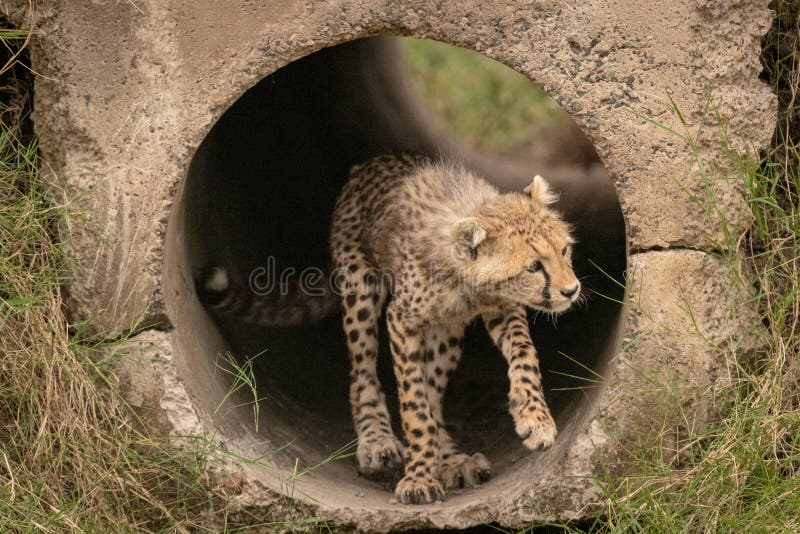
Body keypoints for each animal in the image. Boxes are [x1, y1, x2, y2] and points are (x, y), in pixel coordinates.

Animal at [197, 153, 582, 505]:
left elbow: (523, 356)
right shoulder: (401, 321)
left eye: (565, 250)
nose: (571, 290)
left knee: (434, 390)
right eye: (533, 266)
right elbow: (414, 405)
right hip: (361, 286)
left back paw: (452, 459)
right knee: (362, 372)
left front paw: (534, 418)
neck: (465, 280)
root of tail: (368, 164)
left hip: (446, 333)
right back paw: (377, 440)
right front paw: (419, 478)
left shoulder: (502, 308)